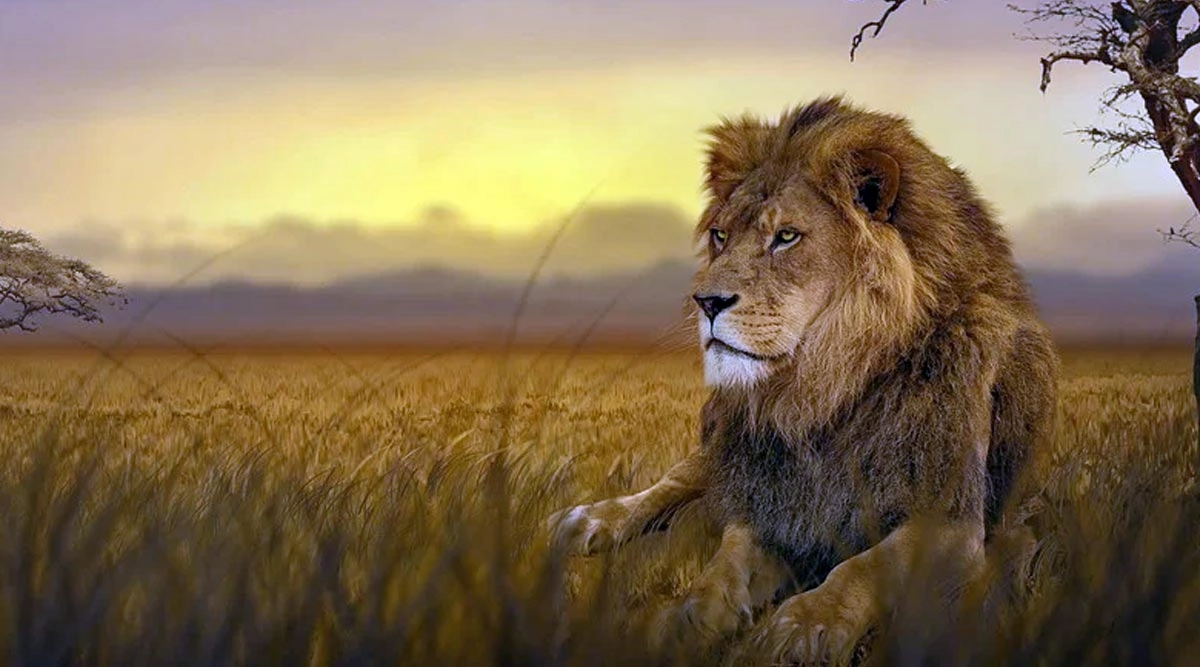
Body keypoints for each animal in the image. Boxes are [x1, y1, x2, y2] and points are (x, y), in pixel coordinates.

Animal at [548, 96, 1058, 664]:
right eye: (721, 236)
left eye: (786, 237)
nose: (705, 302)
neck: (824, 392)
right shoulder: (770, 495)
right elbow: (725, 563)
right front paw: (688, 616)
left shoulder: (952, 519)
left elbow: (863, 566)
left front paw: (805, 625)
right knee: (678, 479)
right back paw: (591, 521)